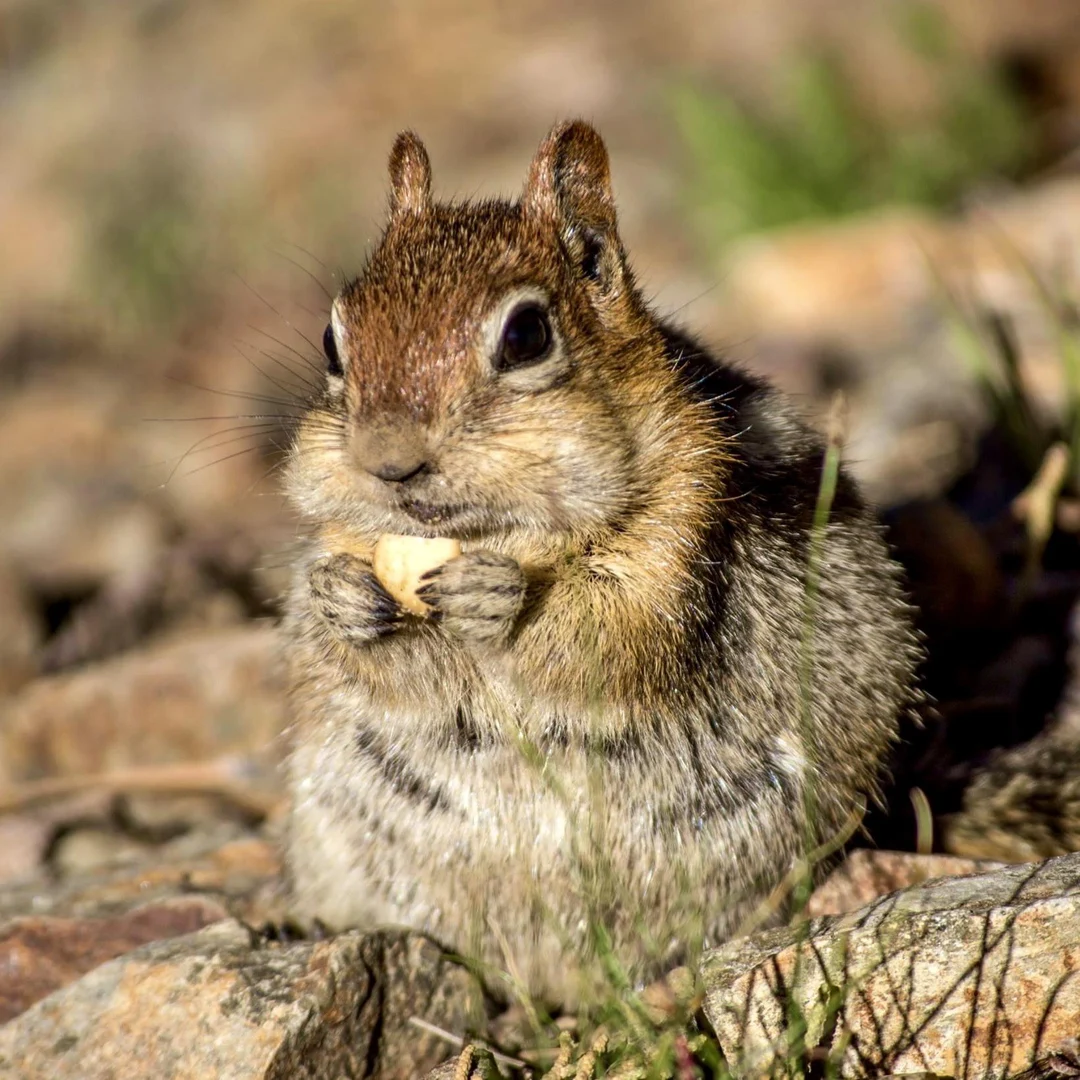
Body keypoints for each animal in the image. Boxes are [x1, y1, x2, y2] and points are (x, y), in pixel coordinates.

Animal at [281, 121, 920, 1006]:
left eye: (525, 336)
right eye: (331, 341)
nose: (388, 463)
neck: (503, 535)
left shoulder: (679, 538)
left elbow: (614, 640)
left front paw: (505, 603)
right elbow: (374, 660)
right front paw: (341, 600)